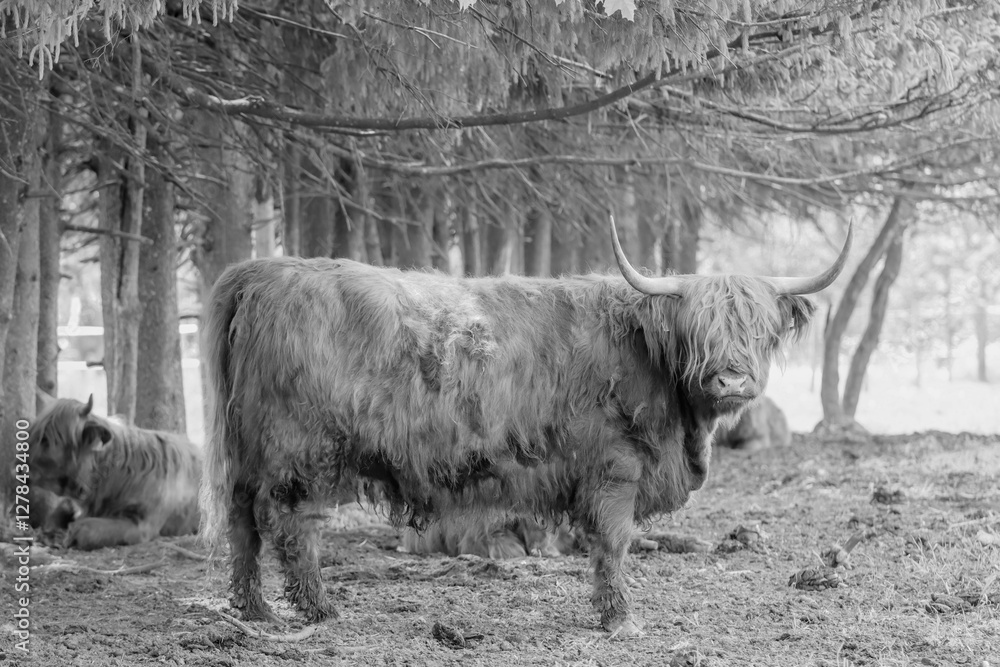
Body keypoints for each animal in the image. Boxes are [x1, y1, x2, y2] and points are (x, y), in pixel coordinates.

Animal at [200, 217, 851, 636]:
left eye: (761, 327)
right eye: (699, 327)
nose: (732, 381)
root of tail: (261, 272)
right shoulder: (616, 469)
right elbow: (614, 542)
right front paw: (621, 619)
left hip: (247, 450)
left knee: (241, 522)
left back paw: (254, 610)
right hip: (299, 452)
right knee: (290, 526)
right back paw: (316, 611)